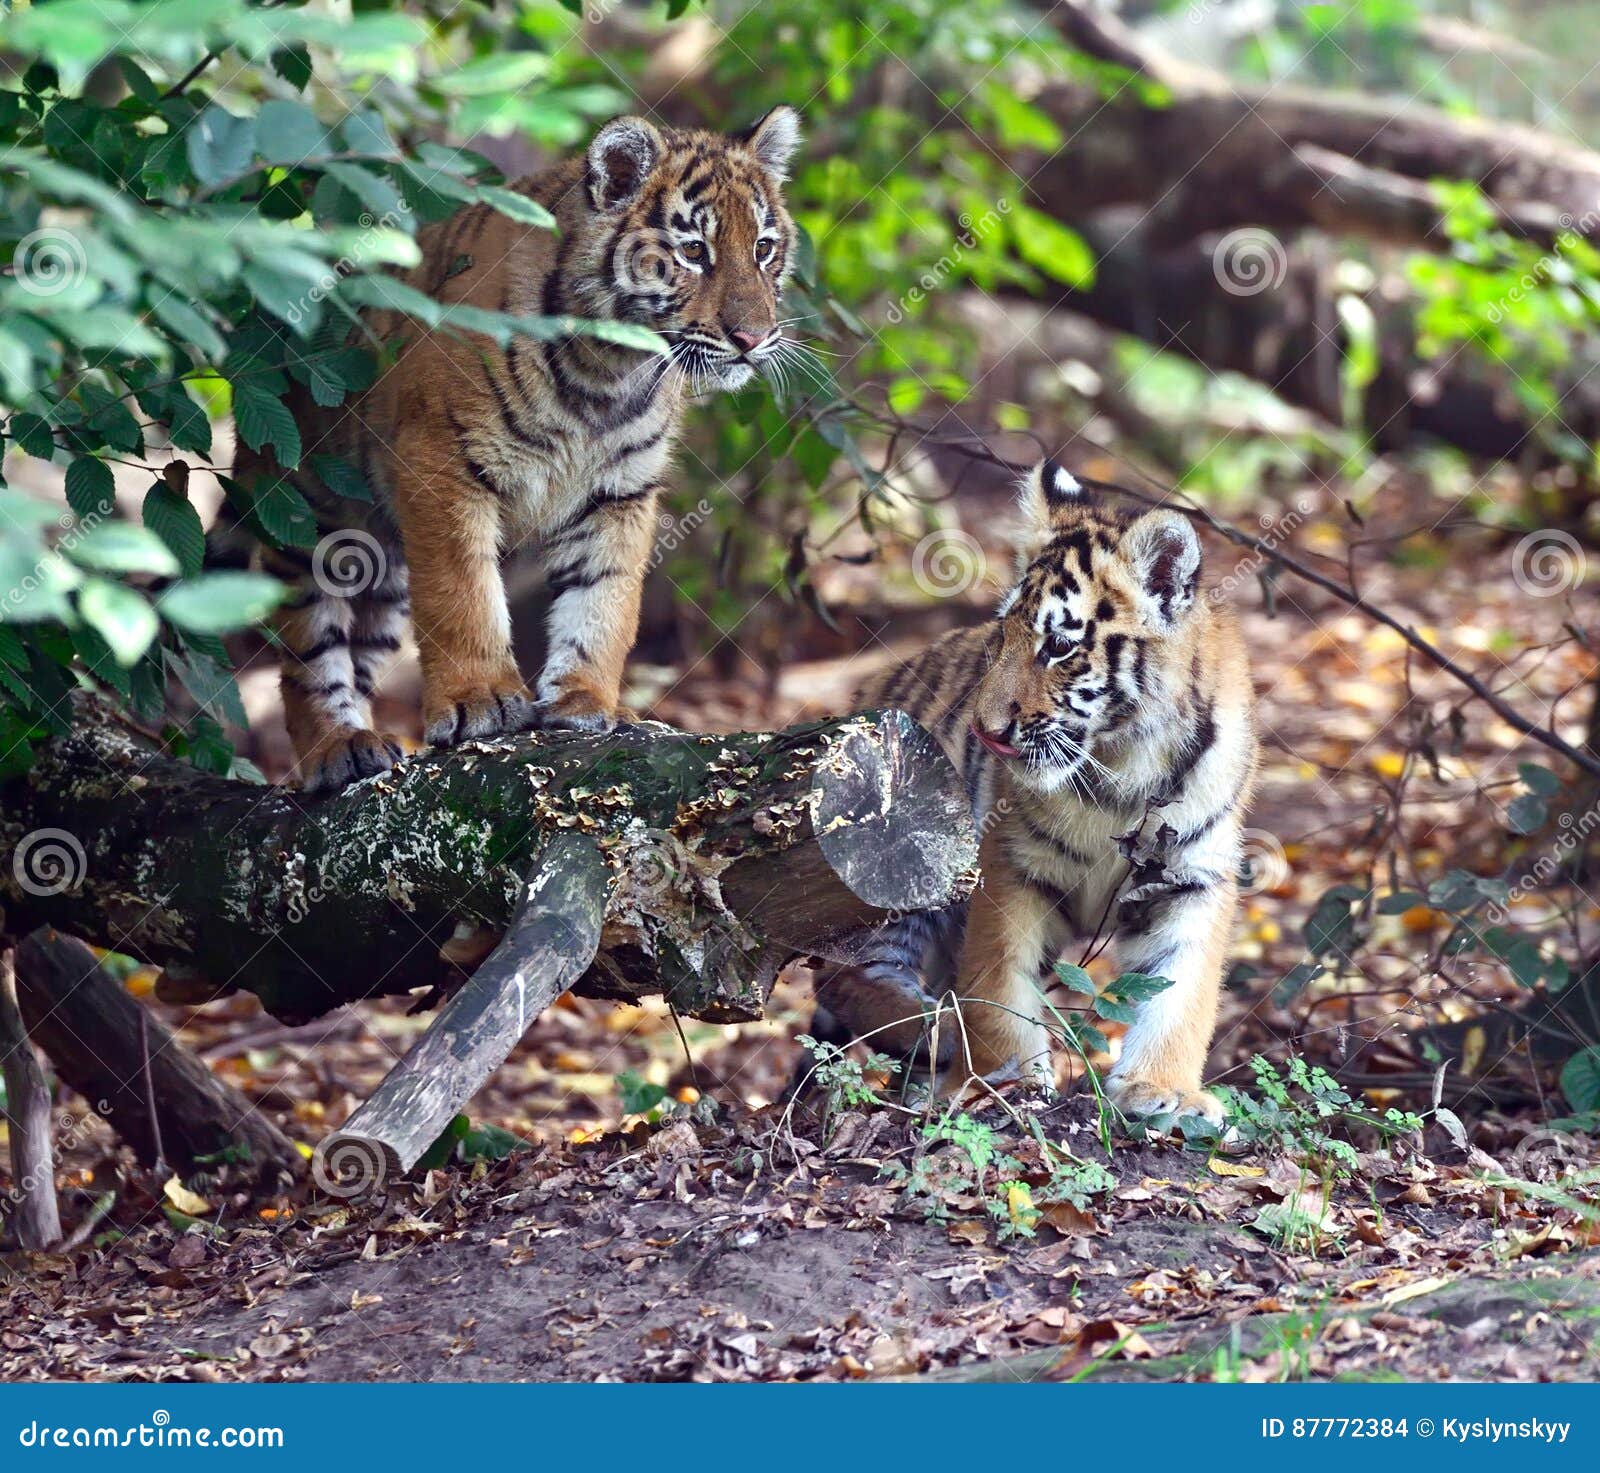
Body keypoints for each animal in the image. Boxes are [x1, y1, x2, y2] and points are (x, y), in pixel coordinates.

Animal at [234, 108, 802, 791]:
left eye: (763, 248)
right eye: (693, 251)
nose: (754, 338)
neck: (609, 371)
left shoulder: (621, 493)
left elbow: (605, 601)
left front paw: (584, 702)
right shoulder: (443, 463)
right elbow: (463, 596)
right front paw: (479, 701)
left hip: (379, 565)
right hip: (306, 519)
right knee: (307, 653)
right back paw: (335, 749)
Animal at [805, 459, 1259, 1125]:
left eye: (1059, 647)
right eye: (1001, 640)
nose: (986, 732)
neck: (1121, 764)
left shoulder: (1192, 878)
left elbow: (1182, 991)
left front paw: (1163, 1090)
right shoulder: (1009, 864)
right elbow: (998, 983)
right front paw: (1003, 1076)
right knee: (846, 973)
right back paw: (936, 1033)